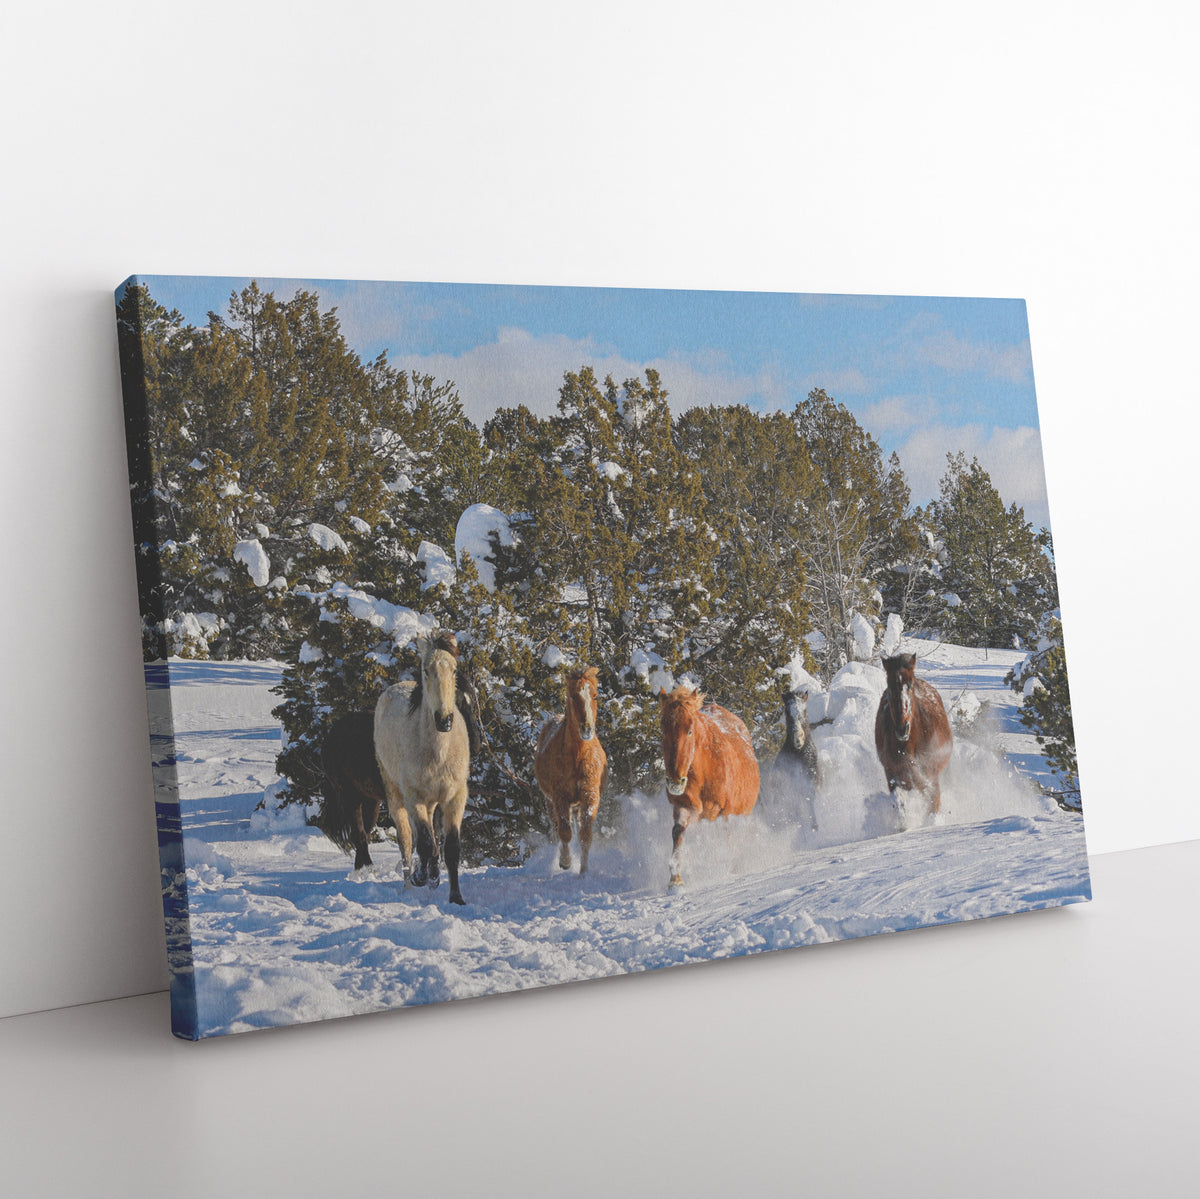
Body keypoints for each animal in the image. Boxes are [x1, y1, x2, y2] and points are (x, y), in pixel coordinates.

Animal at [375, 633, 472, 904]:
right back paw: (410, 884)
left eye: (454, 669)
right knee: (407, 840)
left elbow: (450, 848)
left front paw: (456, 897)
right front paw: (423, 878)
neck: (438, 754)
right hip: (395, 793)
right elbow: (425, 844)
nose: (444, 719)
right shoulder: (414, 796)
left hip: (431, 801)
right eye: (426, 670)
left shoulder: (455, 797)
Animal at [535, 666, 608, 875]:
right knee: (557, 828)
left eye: (595, 696)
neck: (578, 757)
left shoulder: (590, 795)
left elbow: (585, 835)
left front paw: (584, 871)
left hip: (577, 804)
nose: (587, 729)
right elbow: (565, 832)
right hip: (550, 801)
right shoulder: (560, 797)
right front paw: (566, 862)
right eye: (574, 696)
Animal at [659, 685, 760, 887]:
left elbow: (726, 836)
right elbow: (677, 832)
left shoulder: (725, 812)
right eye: (663, 727)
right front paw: (675, 880)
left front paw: (730, 872)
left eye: (690, 730)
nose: (675, 782)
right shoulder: (684, 806)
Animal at [874, 653, 953, 824]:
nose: (902, 729)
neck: (907, 747)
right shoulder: (892, 774)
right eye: (889, 687)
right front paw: (903, 824)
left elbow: (933, 802)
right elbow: (898, 800)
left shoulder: (931, 776)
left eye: (910, 686)